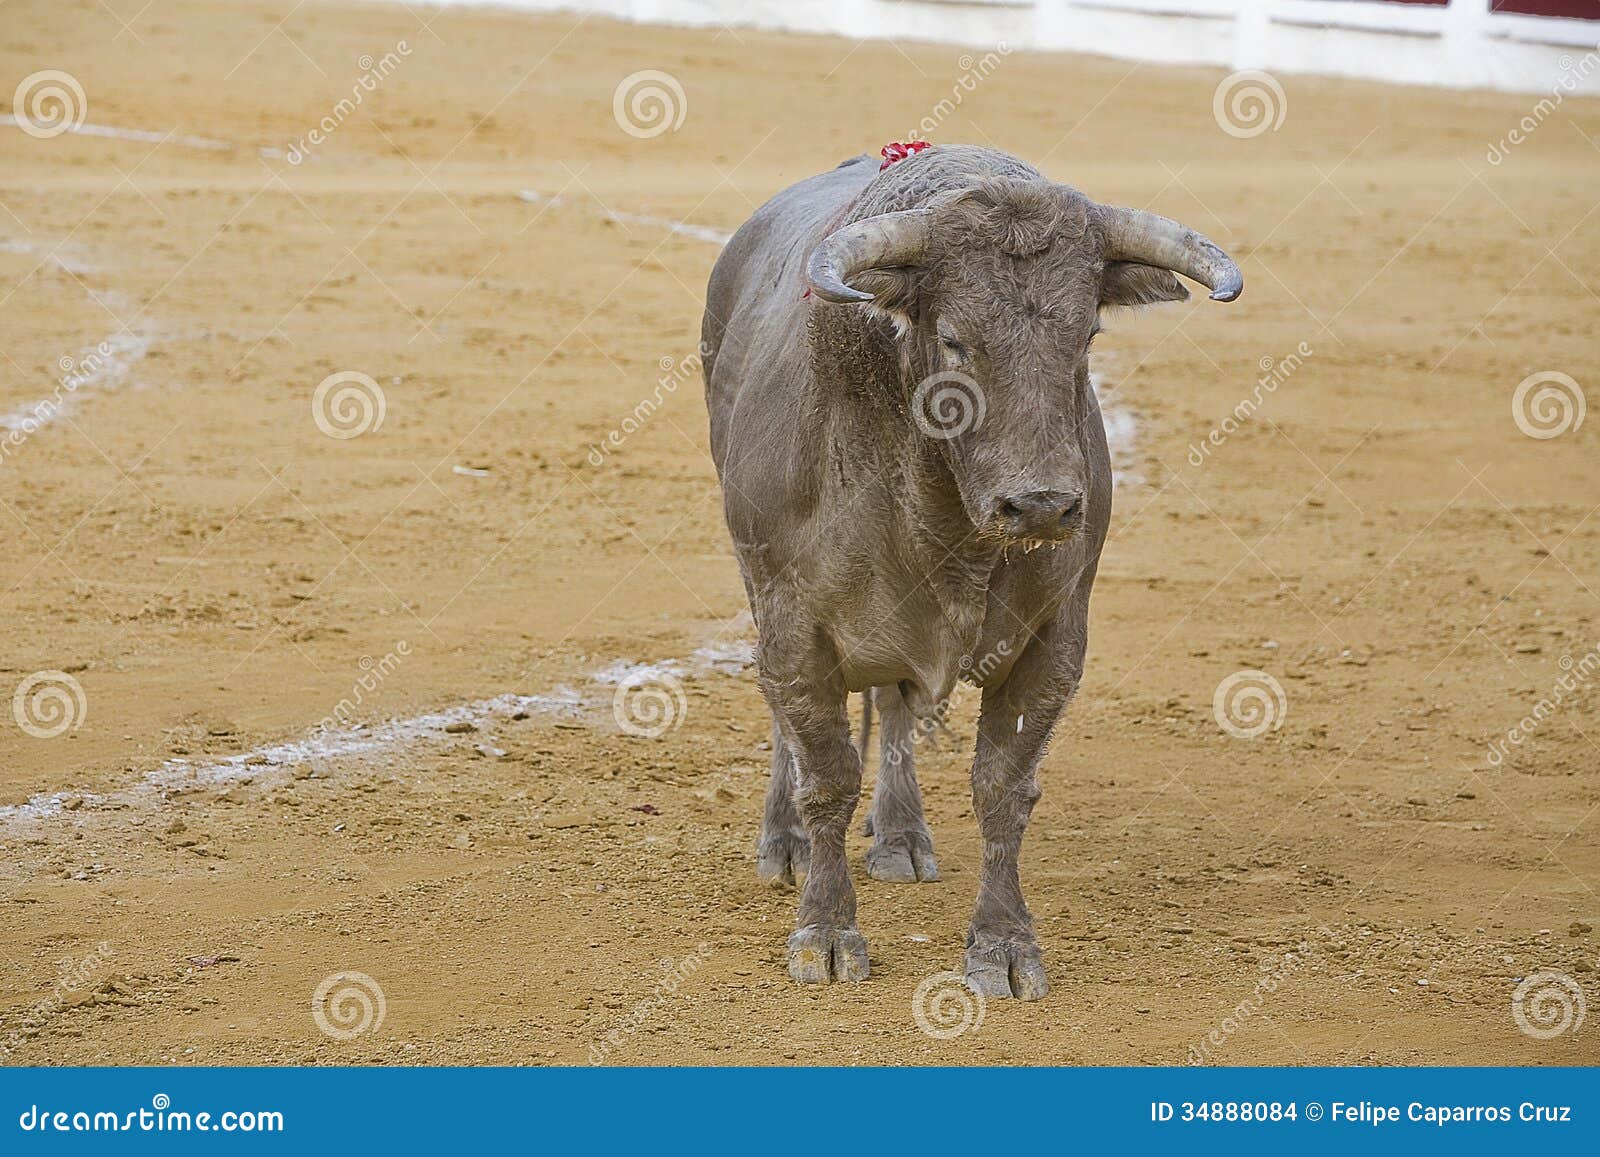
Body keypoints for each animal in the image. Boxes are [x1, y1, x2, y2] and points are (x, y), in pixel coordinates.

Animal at [700, 144, 1240, 998]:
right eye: (954, 340)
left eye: (1087, 333)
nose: (1043, 504)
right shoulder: (792, 624)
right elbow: (826, 774)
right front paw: (825, 930)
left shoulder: (1056, 640)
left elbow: (1003, 788)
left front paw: (1004, 943)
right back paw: (783, 840)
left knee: (893, 706)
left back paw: (902, 834)